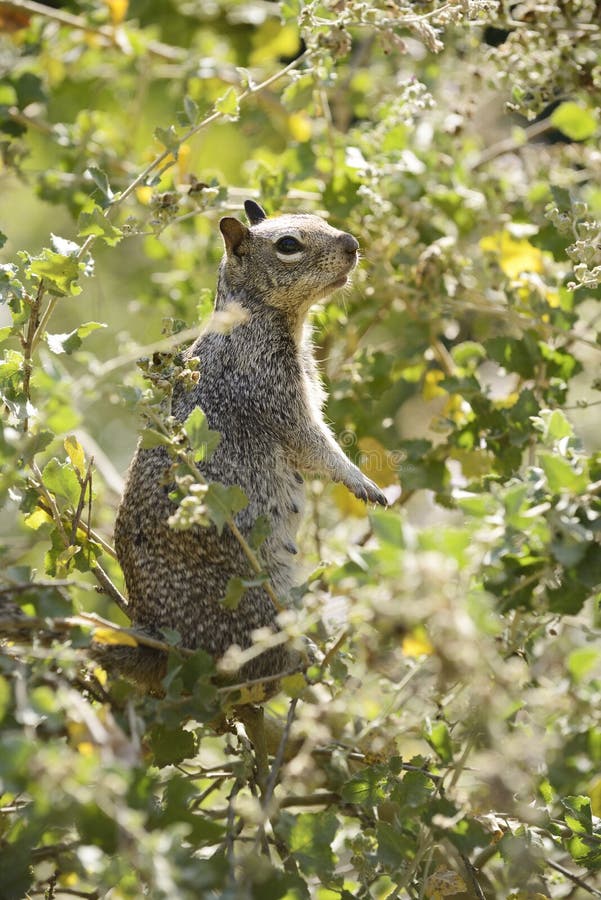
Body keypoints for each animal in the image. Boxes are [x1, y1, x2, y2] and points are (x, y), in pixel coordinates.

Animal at [100, 200, 387, 692]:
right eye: (288, 245)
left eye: (320, 217)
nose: (352, 244)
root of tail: (156, 642)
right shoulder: (274, 396)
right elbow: (316, 446)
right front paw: (362, 482)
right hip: (256, 601)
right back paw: (305, 655)